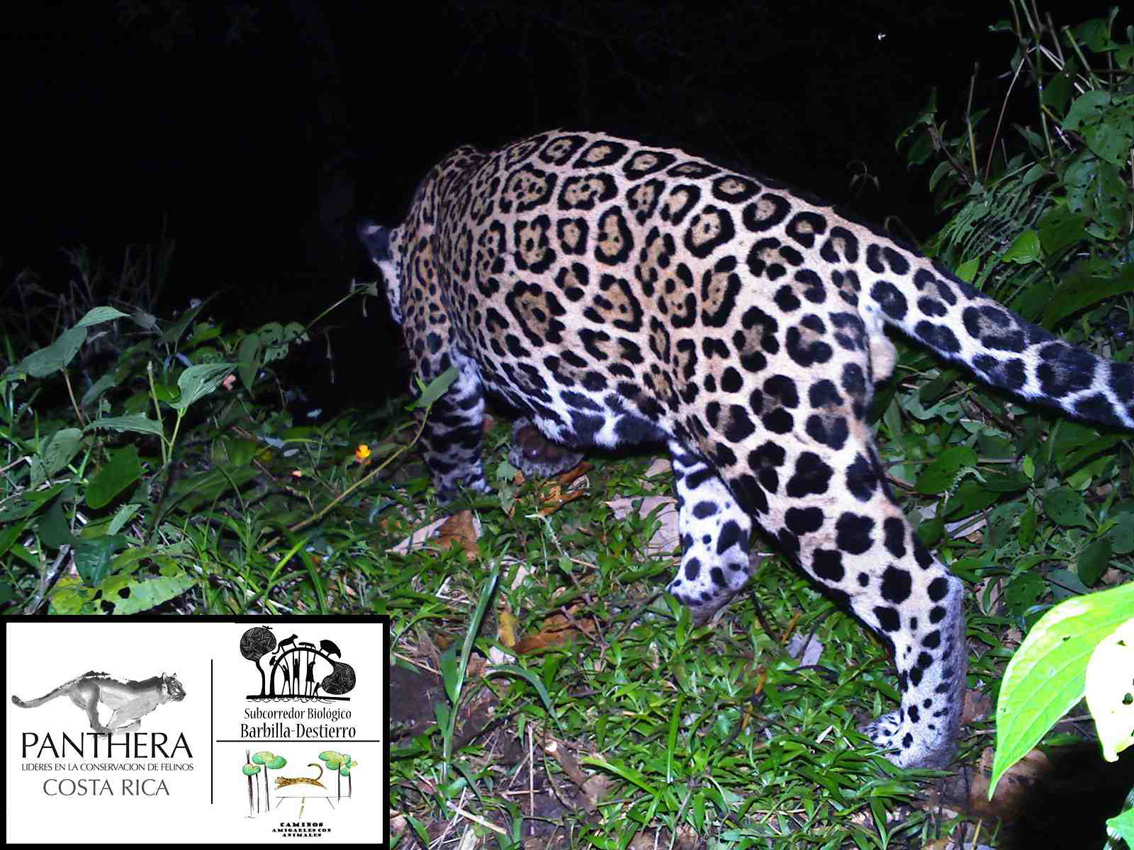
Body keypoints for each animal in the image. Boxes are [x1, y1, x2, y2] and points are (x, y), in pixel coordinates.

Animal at [359, 130, 1134, 769]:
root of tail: (838, 235)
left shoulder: (442, 368)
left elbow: (448, 449)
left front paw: (460, 511)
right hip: (719, 421)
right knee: (723, 545)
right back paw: (677, 604)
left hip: (785, 451)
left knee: (924, 588)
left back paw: (917, 743)